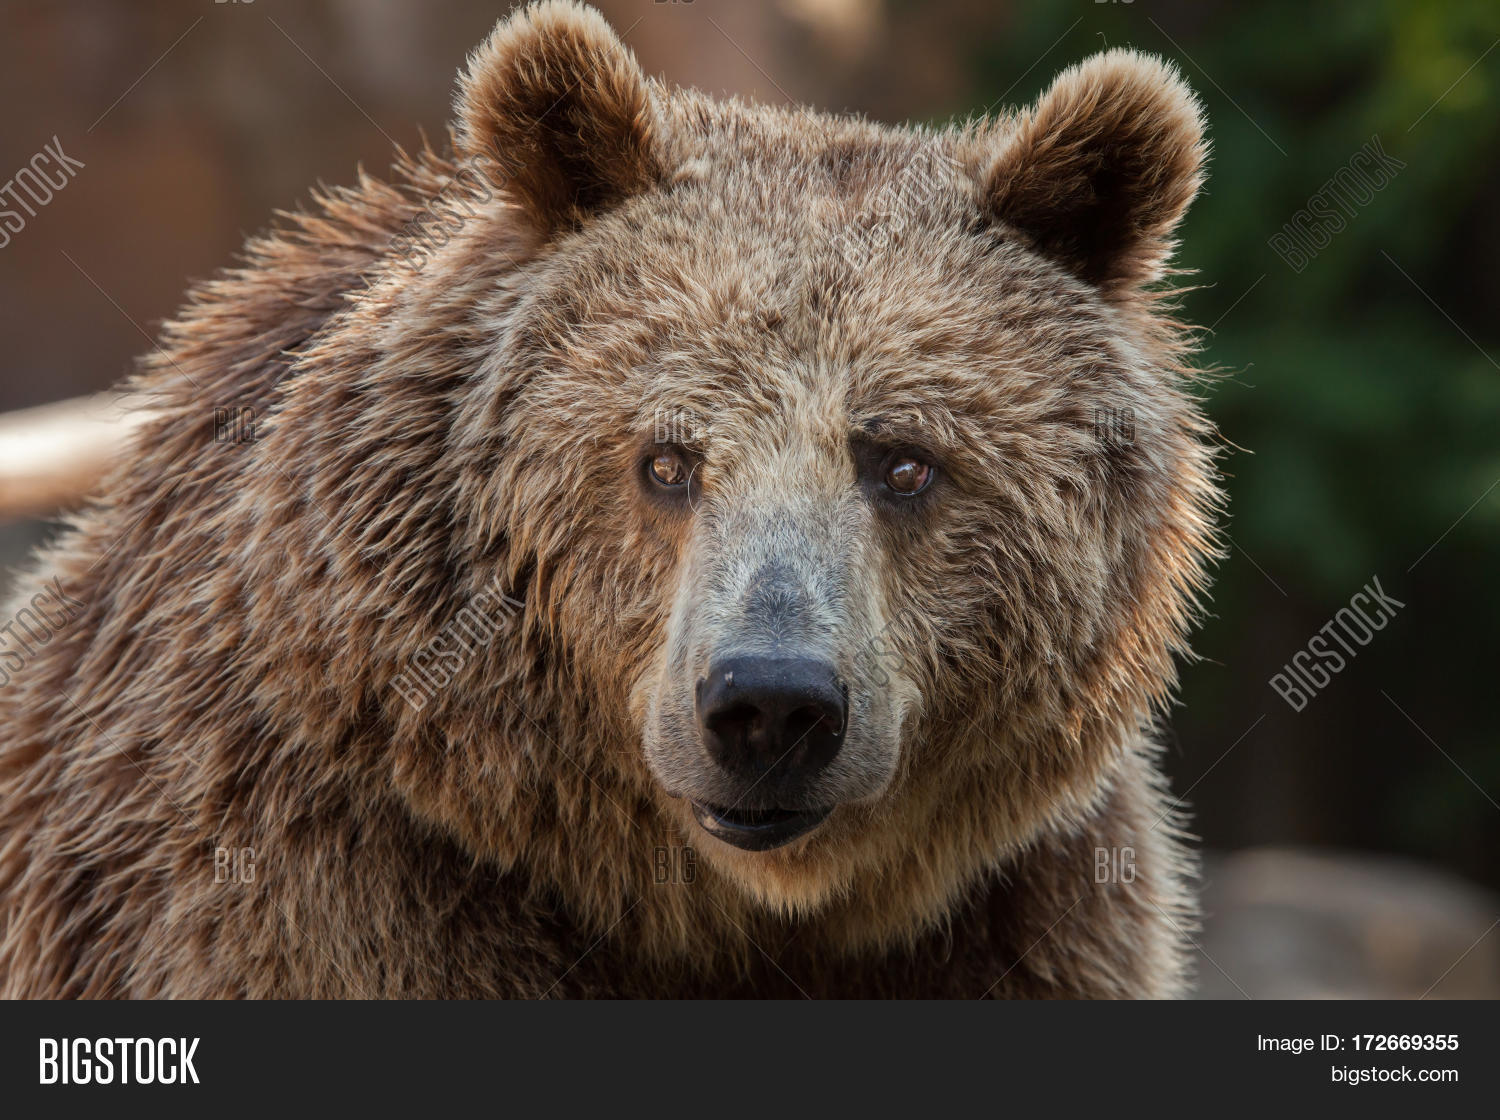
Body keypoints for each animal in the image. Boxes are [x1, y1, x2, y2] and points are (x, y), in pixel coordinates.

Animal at [0, 1, 1218, 998]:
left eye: (904, 462)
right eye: (666, 460)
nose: (770, 706)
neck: (702, 908)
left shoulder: (1013, 920)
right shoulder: (323, 882)